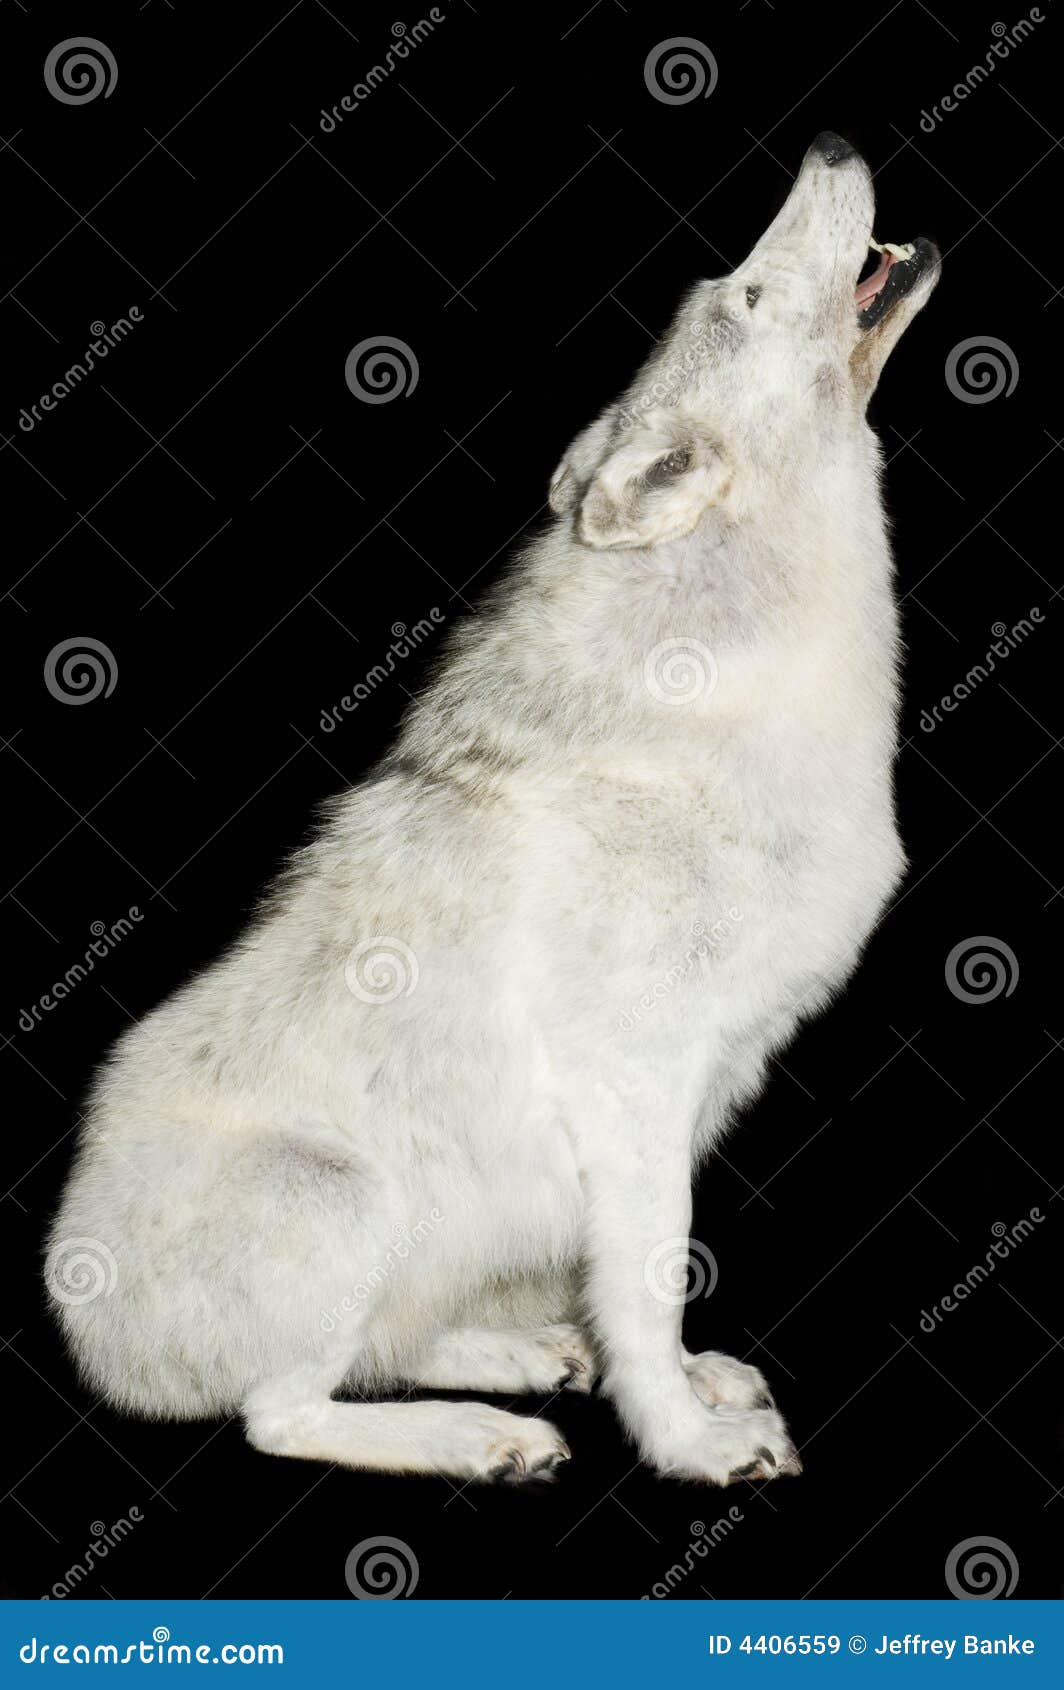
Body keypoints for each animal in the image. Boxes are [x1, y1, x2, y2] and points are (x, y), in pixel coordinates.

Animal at [48, 134, 939, 1486]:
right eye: (743, 292)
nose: (826, 147)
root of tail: (80, 1323)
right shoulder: (637, 1085)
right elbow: (650, 1283)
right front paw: (687, 1441)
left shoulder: (685, 1096)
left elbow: (636, 1296)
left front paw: (684, 1385)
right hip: (345, 1197)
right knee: (280, 1415)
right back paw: (480, 1436)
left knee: (390, 1349)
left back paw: (518, 1365)